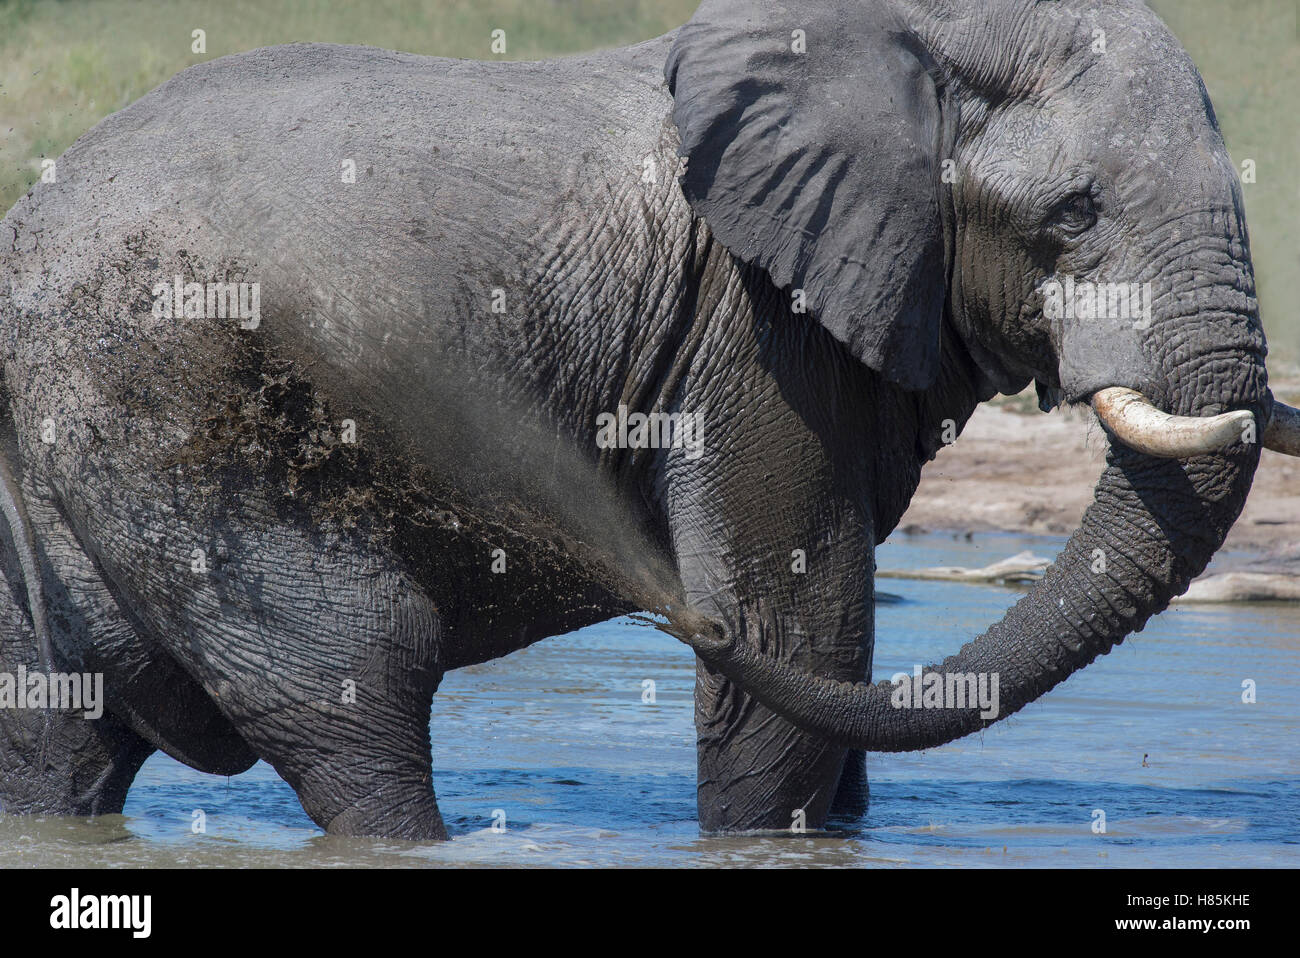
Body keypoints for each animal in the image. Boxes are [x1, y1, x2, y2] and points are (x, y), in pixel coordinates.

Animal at [1, 0, 1297, 841]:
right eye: (1073, 214)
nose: (683, 614)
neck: (920, 28)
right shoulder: (753, 331)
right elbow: (805, 616)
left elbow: (830, 661)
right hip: (167, 416)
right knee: (353, 689)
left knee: (56, 736)